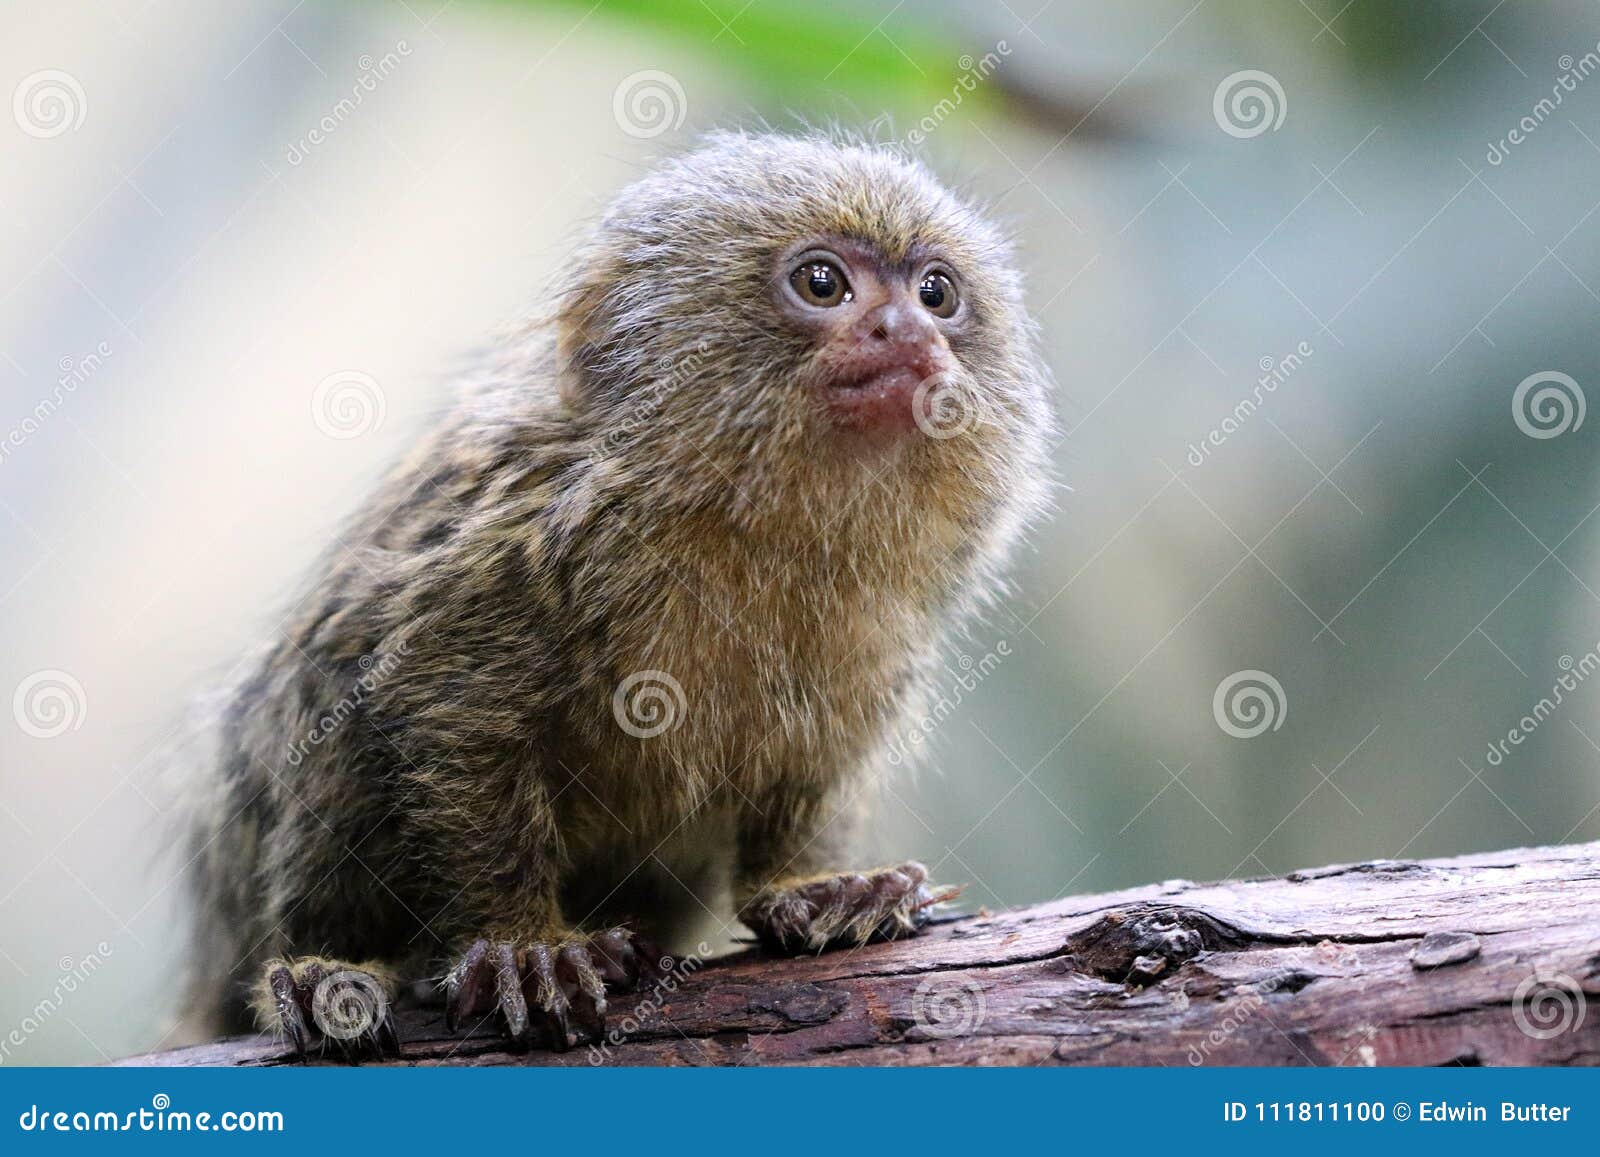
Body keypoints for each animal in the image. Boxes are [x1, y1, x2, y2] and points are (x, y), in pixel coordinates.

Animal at [181, 130, 1055, 1058]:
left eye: (937, 292)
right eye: (823, 283)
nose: (909, 329)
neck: (744, 521)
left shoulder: (879, 625)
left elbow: (810, 764)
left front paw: (813, 887)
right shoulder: (513, 547)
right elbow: (442, 718)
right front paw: (525, 945)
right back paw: (321, 975)